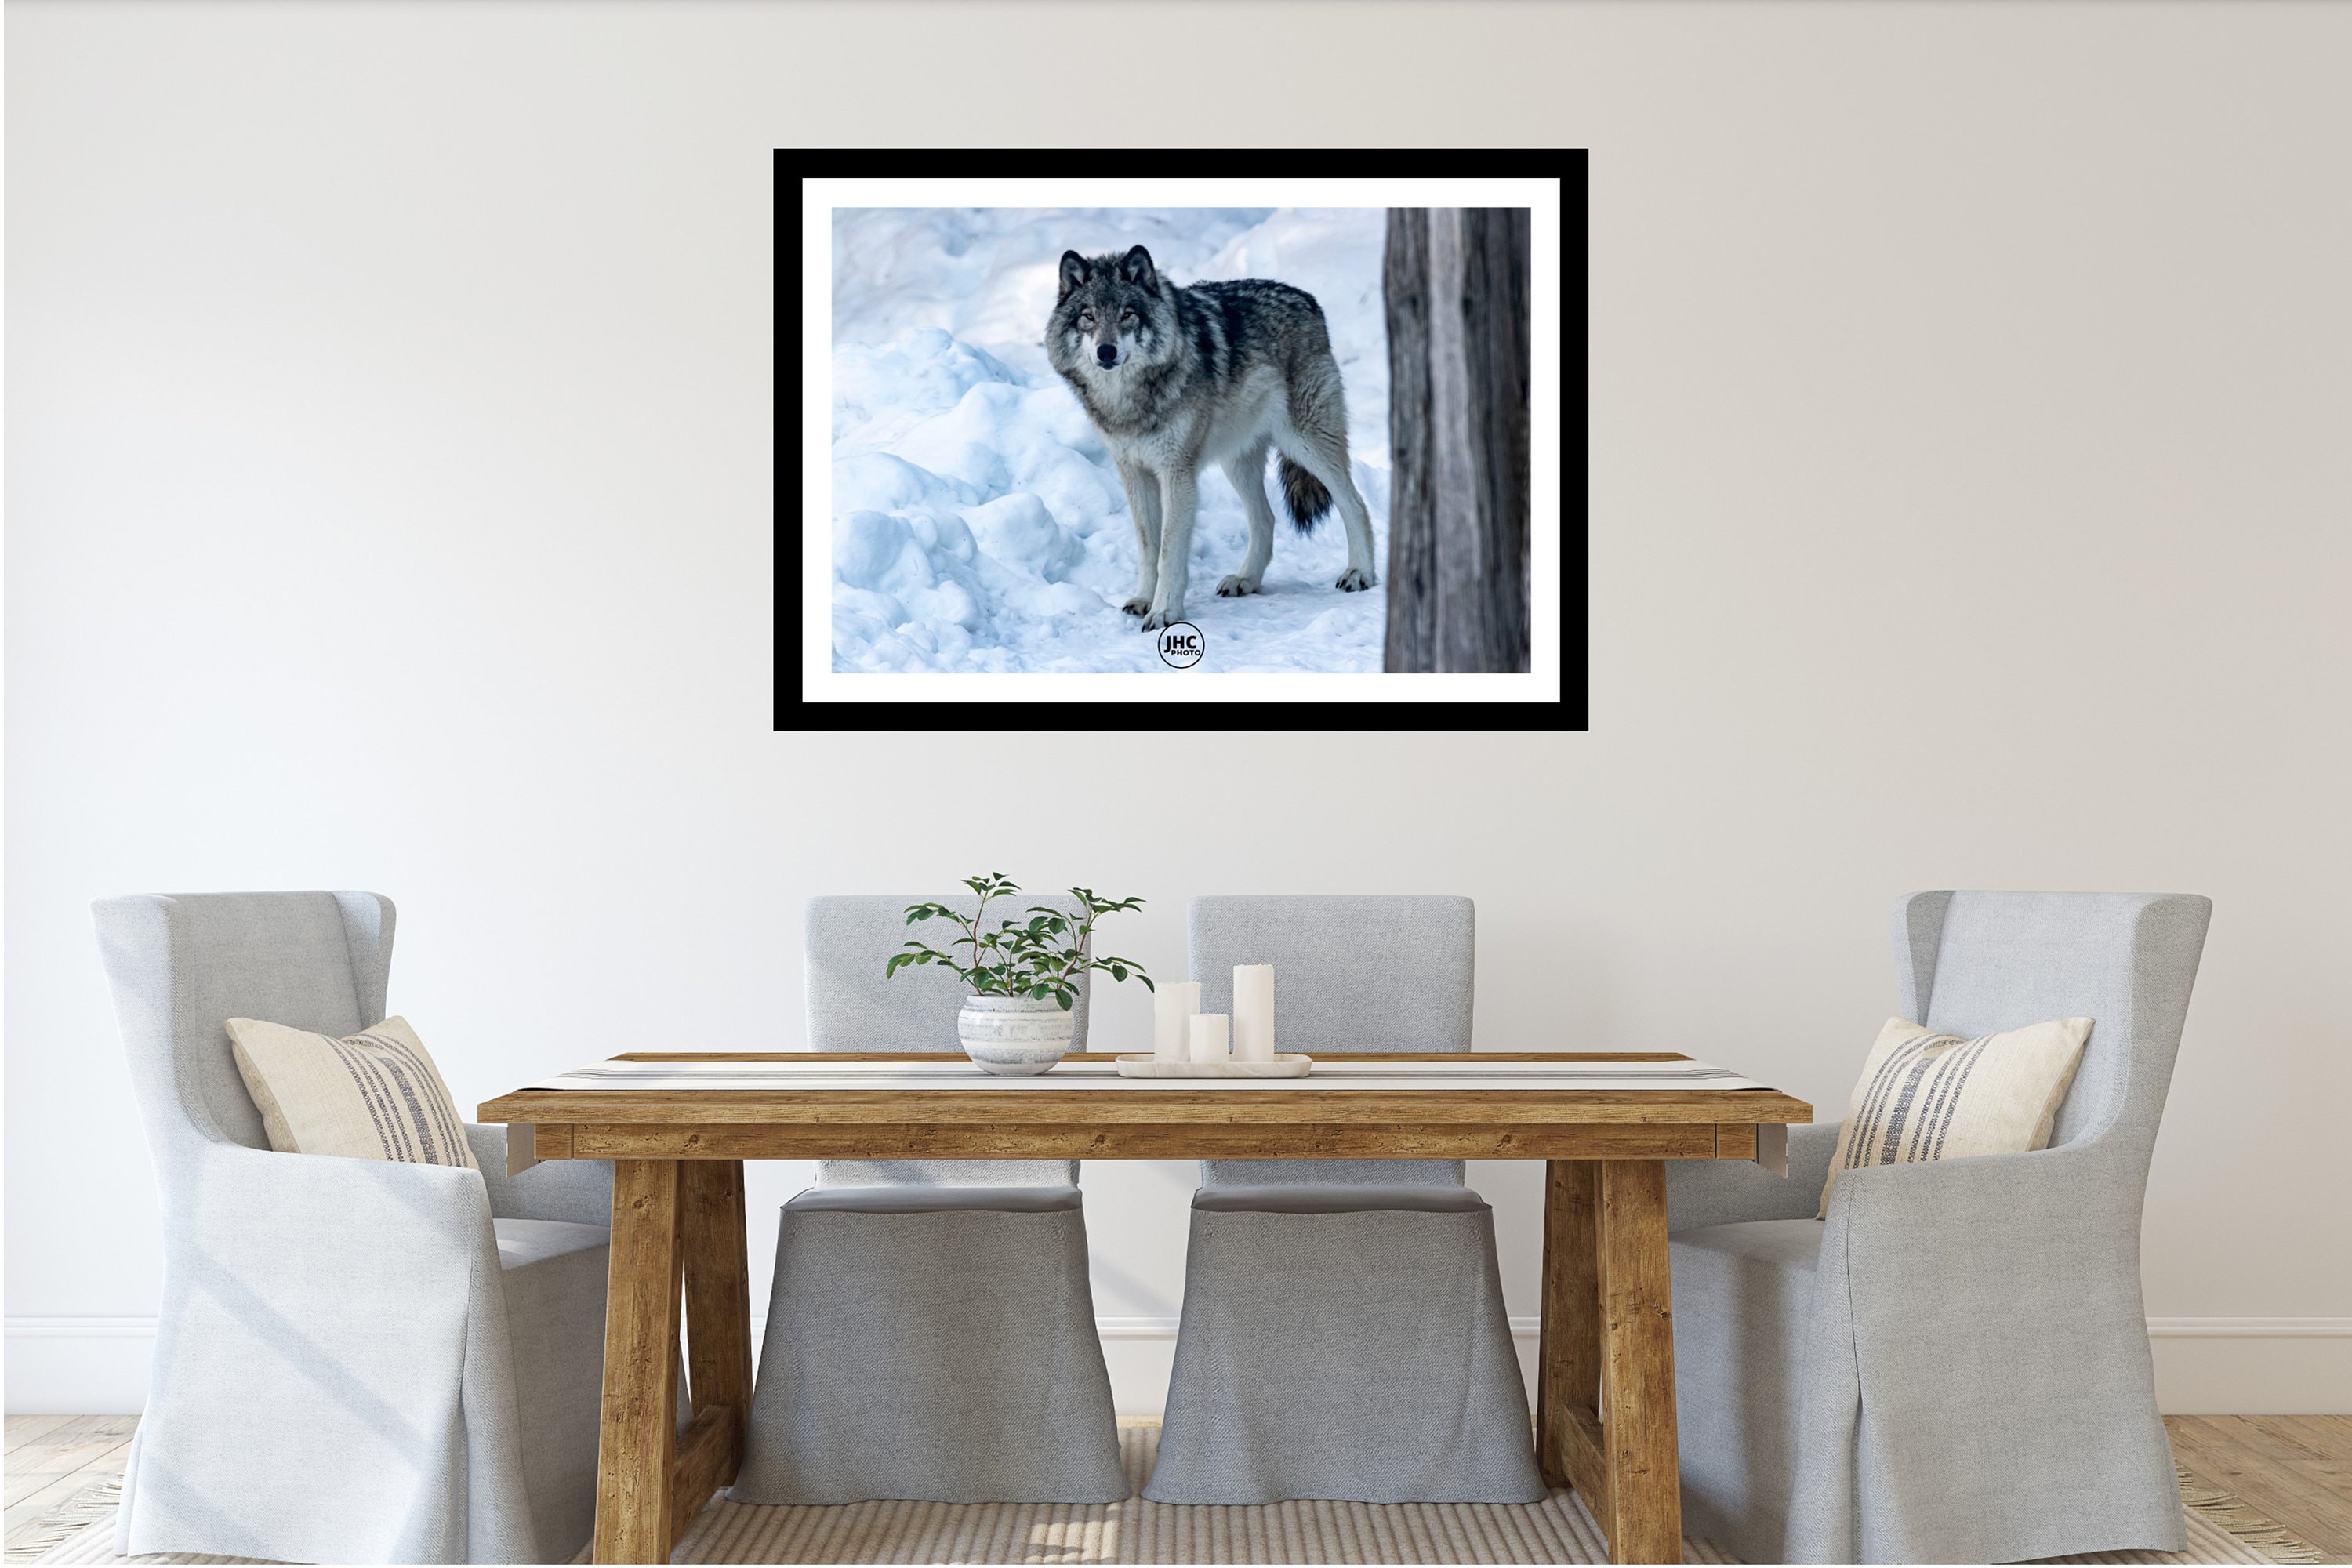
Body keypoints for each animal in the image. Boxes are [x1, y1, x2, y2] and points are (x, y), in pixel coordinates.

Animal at [1047, 245, 1378, 632]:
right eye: (1088, 317)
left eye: (1128, 315)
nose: (1106, 351)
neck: (1129, 402)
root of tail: (1308, 300)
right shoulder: (1134, 472)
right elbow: (1147, 548)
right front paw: (1143, 600)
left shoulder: (1177, 473)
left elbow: (1168, 551)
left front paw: (1164, 611)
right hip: (1237, 461)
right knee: (1266, 520)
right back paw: (1245, 580)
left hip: (1306, 443)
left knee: (1355, 503)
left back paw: (1359, 573)